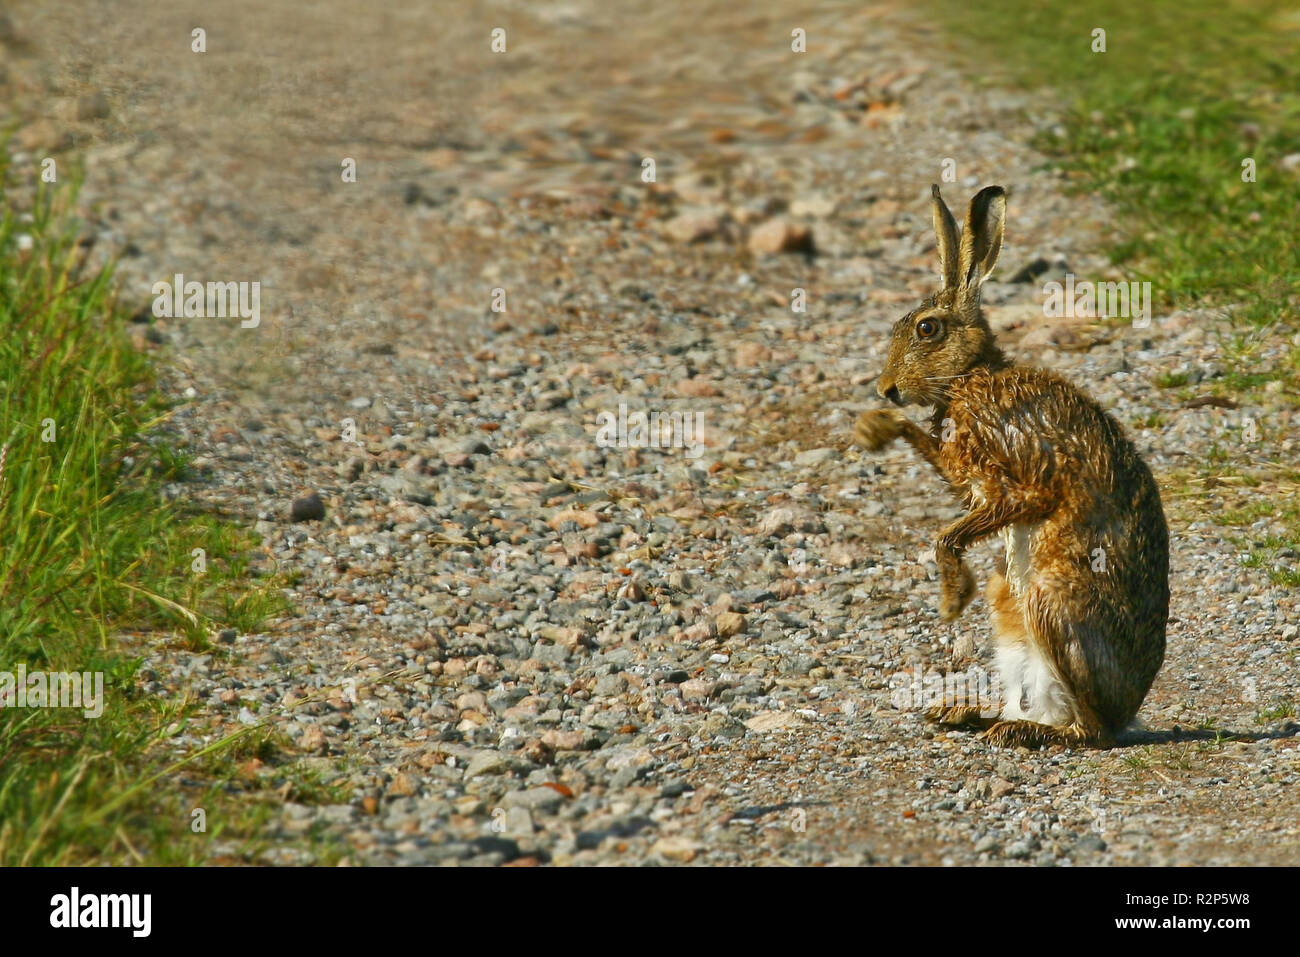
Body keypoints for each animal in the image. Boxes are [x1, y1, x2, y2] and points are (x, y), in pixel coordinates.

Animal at [854, 184, 1169, 748]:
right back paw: (963, 713)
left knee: (1093, 732)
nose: (886, 390)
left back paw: (1023, 731)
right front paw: (875, 428)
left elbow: (949, 535)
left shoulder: (1021, 482)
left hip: (1052, 604)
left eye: (927, 329)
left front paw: (952, 600)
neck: (970, 376)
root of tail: (1128, 711)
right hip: (1009, 614)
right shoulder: (970, 482)